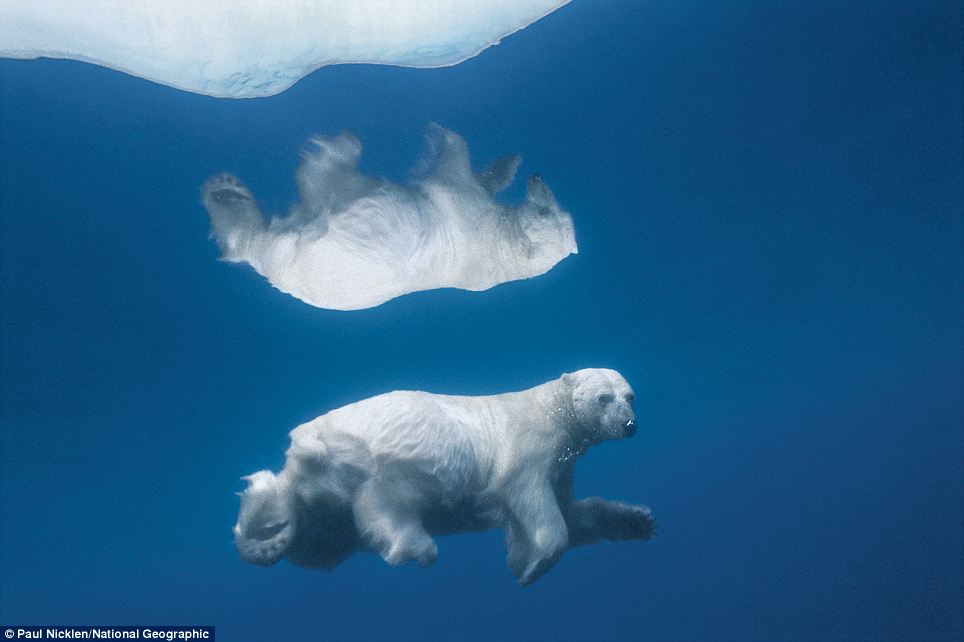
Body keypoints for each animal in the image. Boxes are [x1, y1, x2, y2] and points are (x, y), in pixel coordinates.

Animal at [201, 125, 577, 311]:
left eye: (545, 210)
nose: (538, 179)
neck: (501, 251)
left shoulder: (462, 209)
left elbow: (453, 163)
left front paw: (440, 134)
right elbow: (480, 178)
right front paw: (509, 164)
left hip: (315, 248)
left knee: (319, 188)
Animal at [233, 368, 656, 585]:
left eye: (631, 396)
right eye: (603, 398)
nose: (630, 425)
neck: (549, 409)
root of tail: (299, 454)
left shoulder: (562, 463)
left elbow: (576, 512)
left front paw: (638, 520)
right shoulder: (528, 447)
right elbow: (534, 502)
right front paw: (529, 565)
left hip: (325, 504)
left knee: (317, 540)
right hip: (377, 458)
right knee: (385, 504)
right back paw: (415, 547)